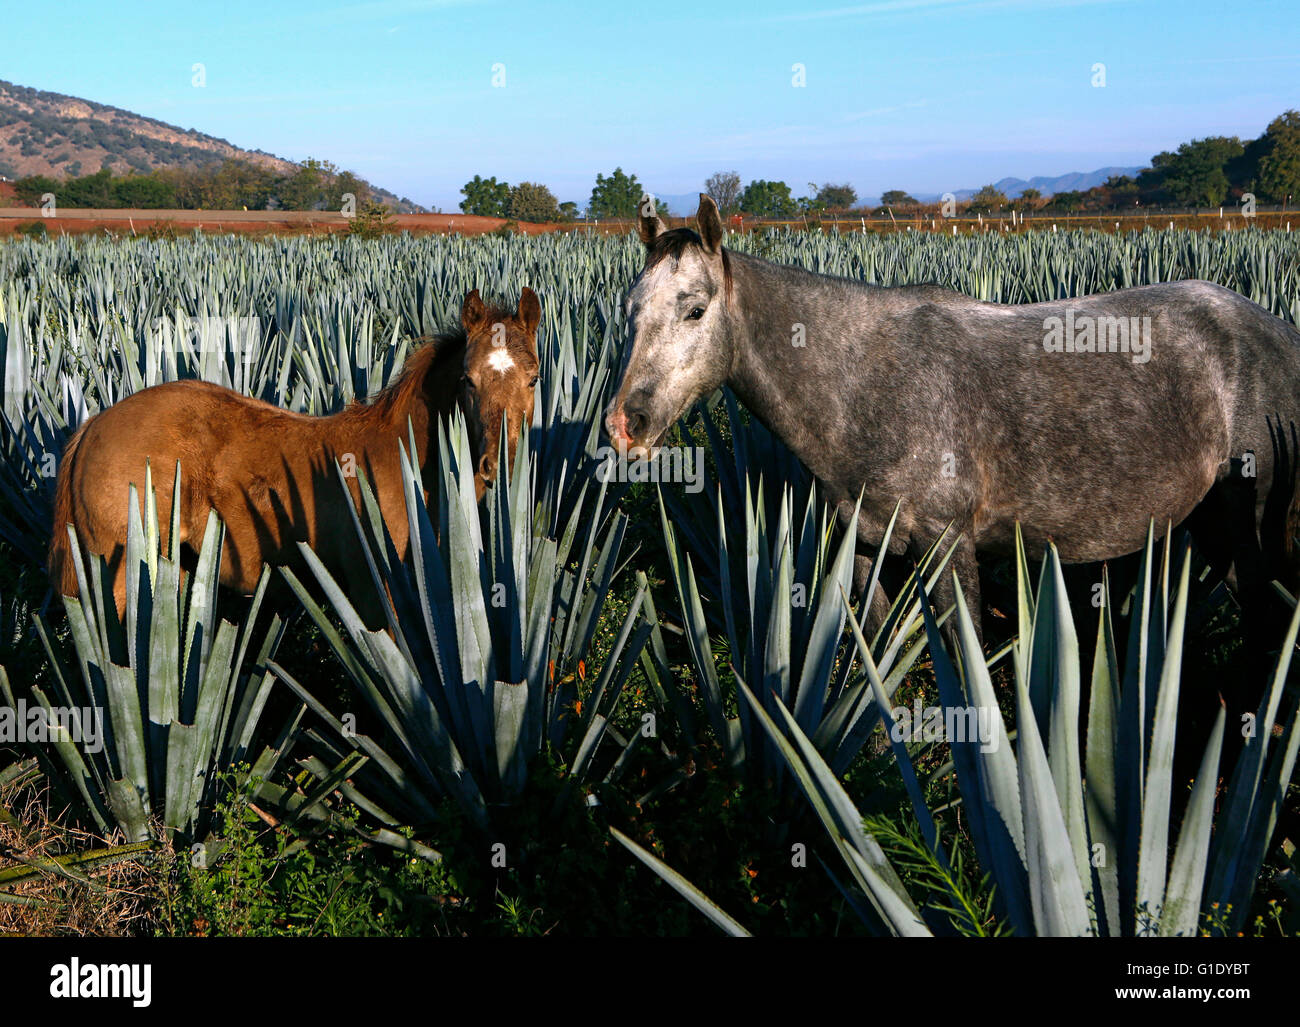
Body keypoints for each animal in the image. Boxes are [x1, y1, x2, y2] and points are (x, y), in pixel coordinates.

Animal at [48, 287, 542, 626]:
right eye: (467, 379)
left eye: (534, 379)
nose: (499, 465)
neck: (402, 459)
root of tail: (93, 426)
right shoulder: (380, 592)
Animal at [605, 195, 1300, 658]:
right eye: (629, 311)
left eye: (695, 311)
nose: (624, 425)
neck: (865, 383)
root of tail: (1276, 328)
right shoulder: (865, 545)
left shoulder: (947, 548)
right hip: (1214, 523)